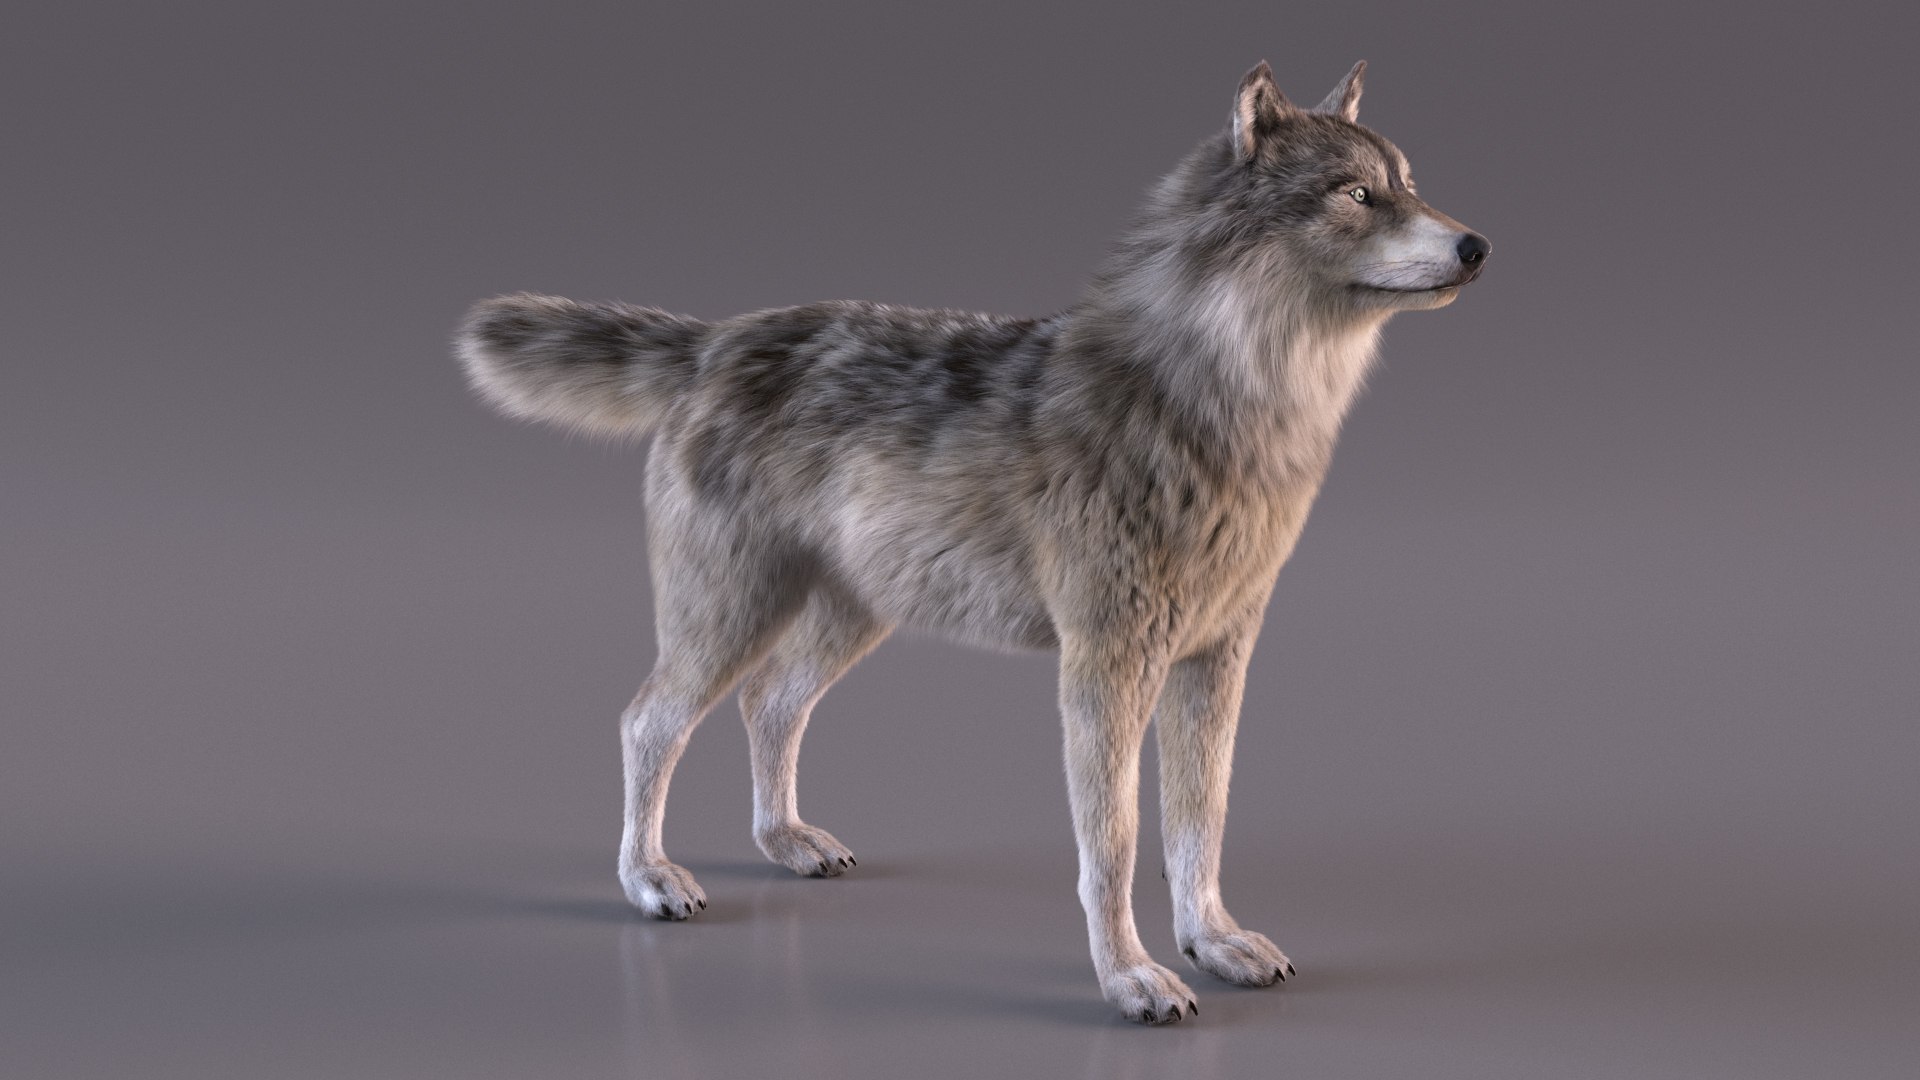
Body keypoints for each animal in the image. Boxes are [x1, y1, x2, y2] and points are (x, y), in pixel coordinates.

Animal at [456, 60, 1488, 1024]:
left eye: (1408, 183)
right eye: (1355, 195)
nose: (1478, 244)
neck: (1225, 405)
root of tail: (714, 341)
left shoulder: (1216, 657)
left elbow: (1202, 820)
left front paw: (1214, 941)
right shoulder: (1105, 666)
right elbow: (1115, 845)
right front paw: (1131, 978)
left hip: (847, 620)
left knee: (768, 703)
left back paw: (786, 843)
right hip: (730, 617)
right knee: (649, 722)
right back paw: (648, 880)